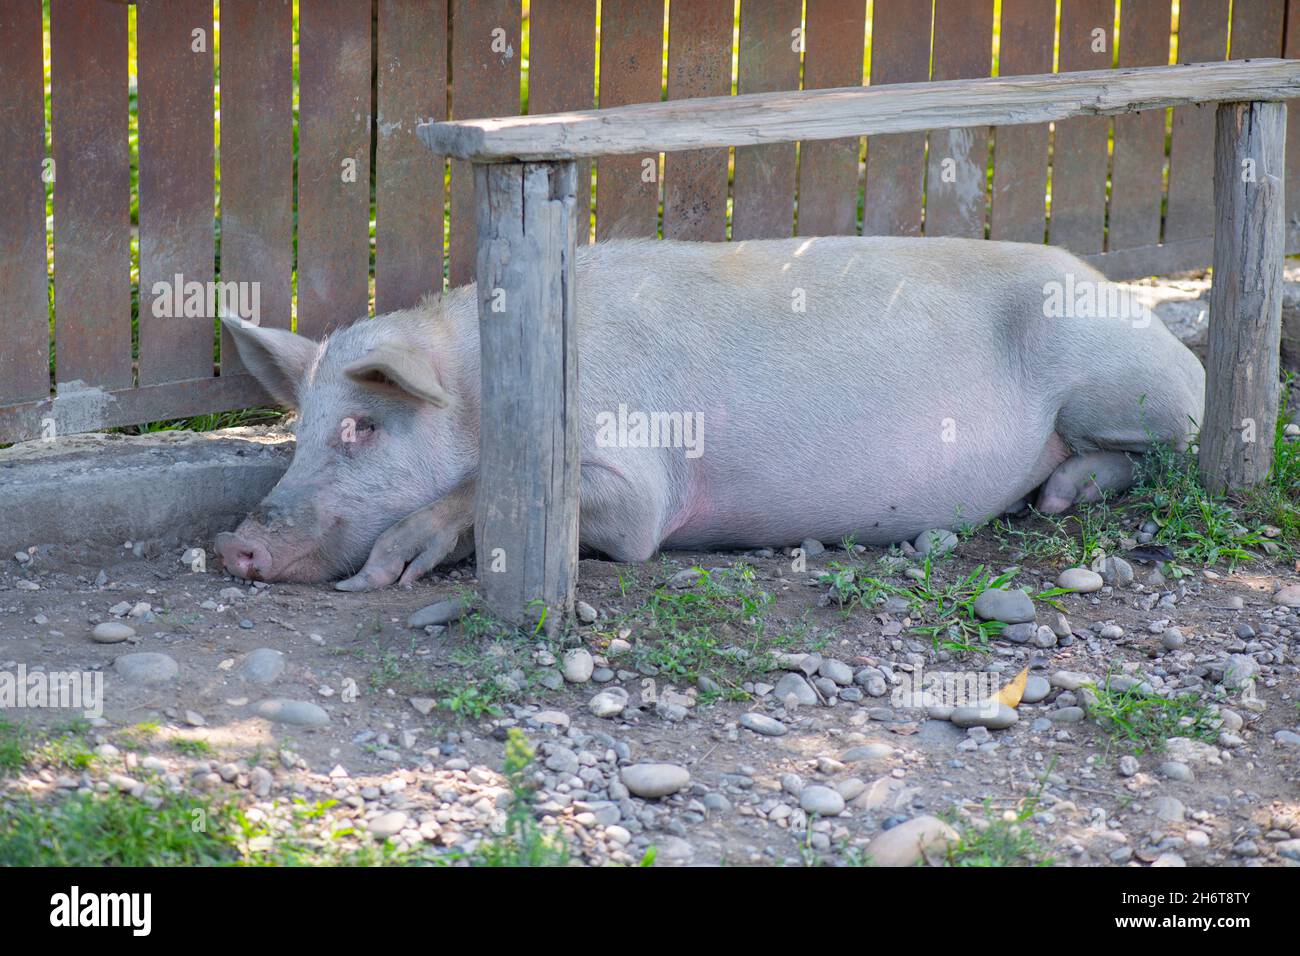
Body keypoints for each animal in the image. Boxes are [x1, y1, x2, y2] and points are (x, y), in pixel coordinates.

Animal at [215, 236, 1204, 589]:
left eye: (363, 427)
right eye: (299, 433)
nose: (237, 545)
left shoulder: (639, 480)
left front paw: (388, 571)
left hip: (1123, 381)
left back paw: (1059, 498)